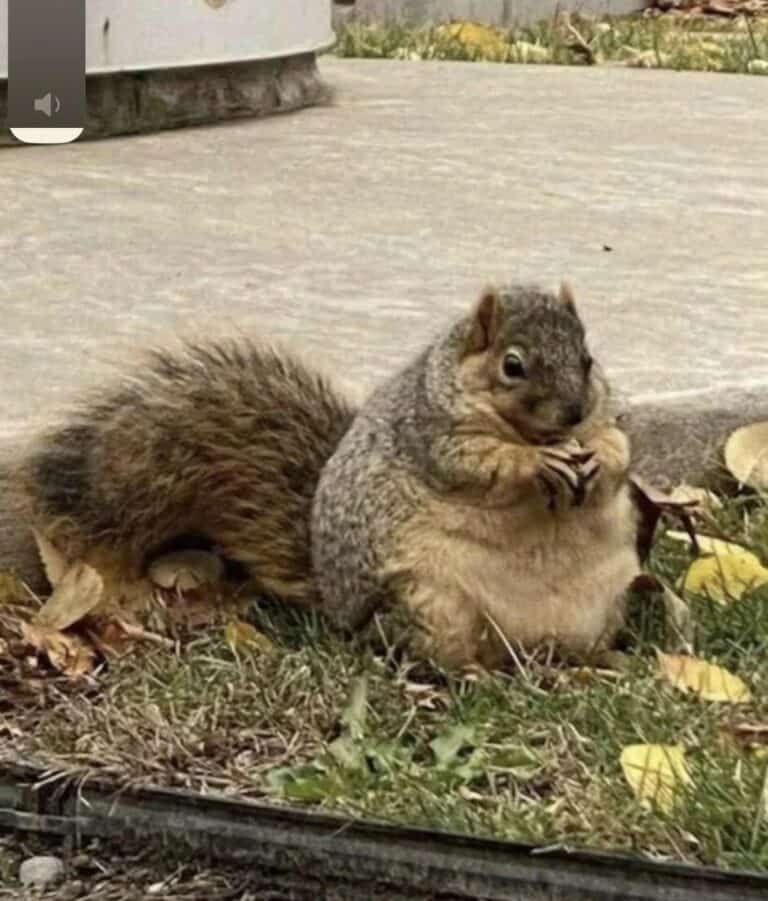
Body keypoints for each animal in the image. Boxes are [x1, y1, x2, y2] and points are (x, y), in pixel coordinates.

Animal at [311, 282, 641, 669]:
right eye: (512, 365)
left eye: (587, 358)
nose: (574, 412)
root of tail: (521, 648)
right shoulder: (438, 437)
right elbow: (483, 462)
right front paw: (537, 460)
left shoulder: (604, 419)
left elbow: (617, 448)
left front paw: (598, 459)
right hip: (430, 604)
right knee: (433, 654)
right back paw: (470, 672)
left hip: (611, 600)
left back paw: (608, 660)